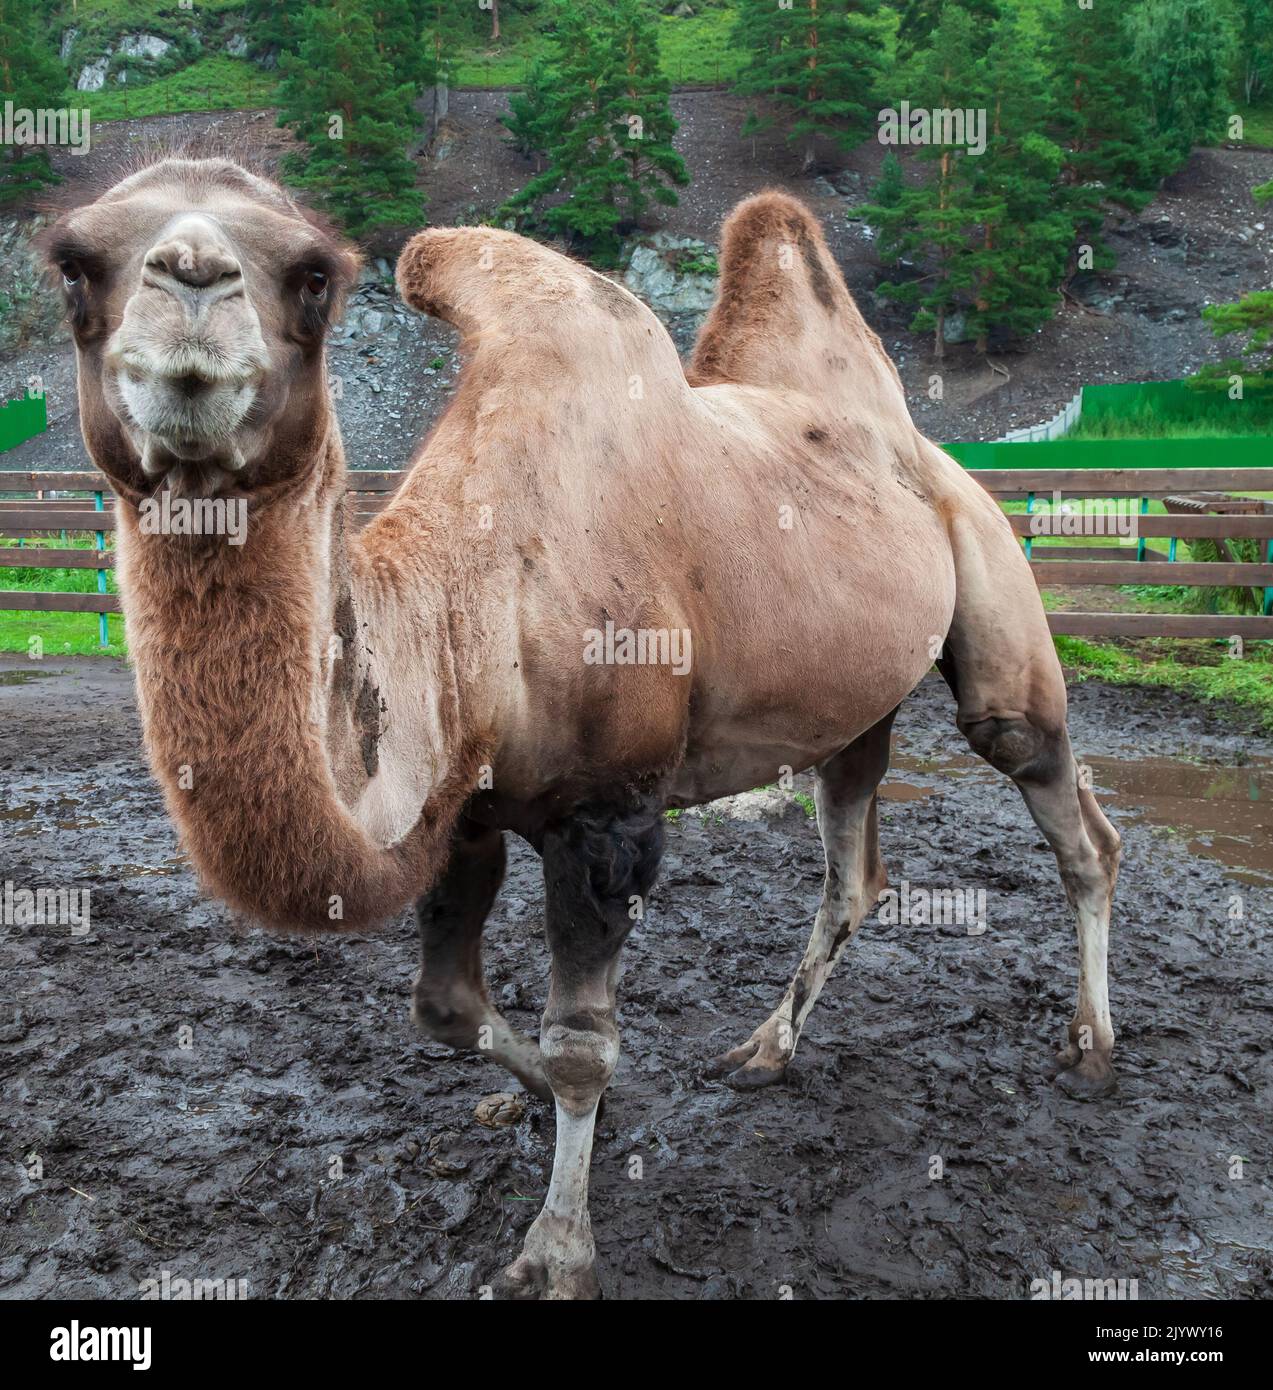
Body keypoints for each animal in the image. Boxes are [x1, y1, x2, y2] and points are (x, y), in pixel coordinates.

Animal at [46, 158, 1120, 1300]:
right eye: (71, 265)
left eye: (314, 277)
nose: (190, 288)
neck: (482, 596)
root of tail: (935, 457)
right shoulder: (463, 810)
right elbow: (442, 1005)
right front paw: (564, 1102)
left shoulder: (609, 816)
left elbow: (578, 1045)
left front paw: (558, 1246)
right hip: (854, 703)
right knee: (855, 868)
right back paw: (764, 1051)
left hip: (994, 597)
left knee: (1061, 805)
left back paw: (1091, 1043)